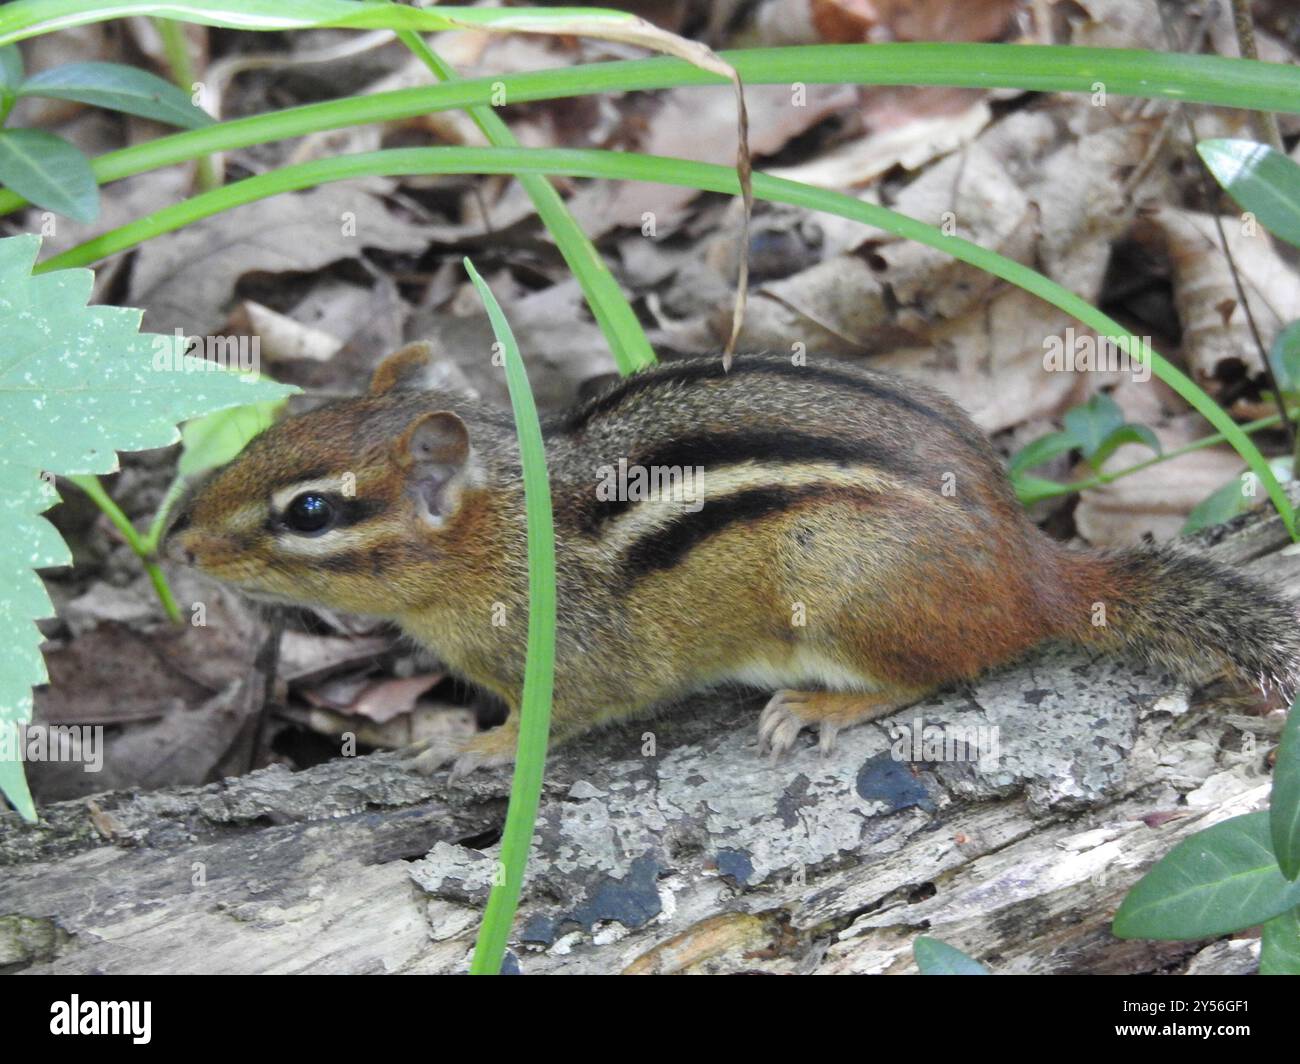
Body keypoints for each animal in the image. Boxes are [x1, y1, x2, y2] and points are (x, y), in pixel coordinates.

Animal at [165, 344, 1300, 777]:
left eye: (310, 511)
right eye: (279, 428)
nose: (177, 539)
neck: (504, 533)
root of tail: (1036, 570)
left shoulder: (573, 660)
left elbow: (553, 719)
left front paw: (477, 748)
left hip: (839, 582)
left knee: (931, 673)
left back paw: (823, 704)